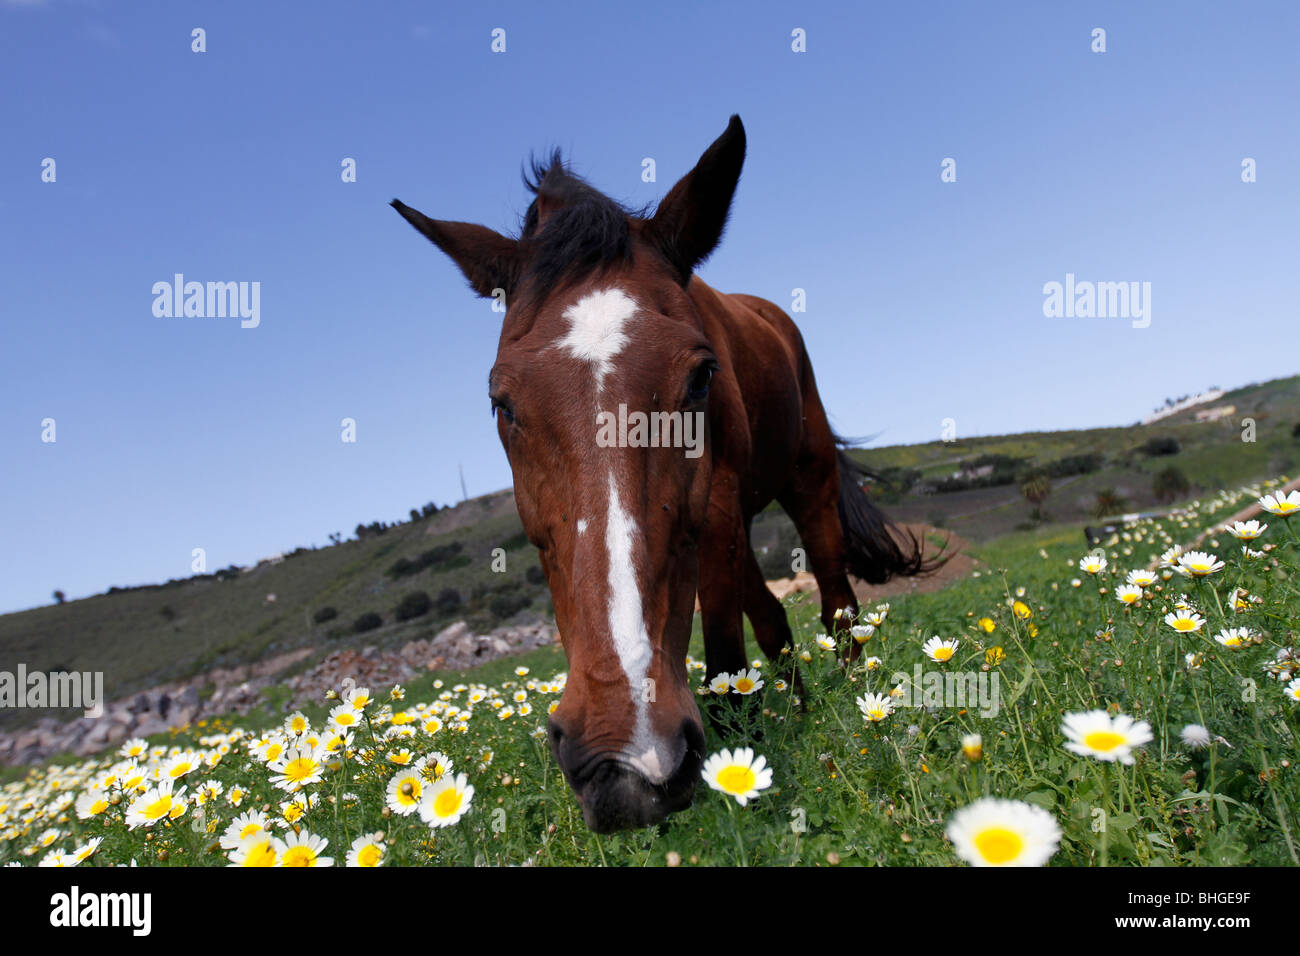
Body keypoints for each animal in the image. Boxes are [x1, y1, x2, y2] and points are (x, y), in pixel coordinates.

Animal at [392, 115, 937, 833]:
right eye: (501, 403)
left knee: (837, 607)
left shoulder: (722, 512)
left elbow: (730, 659)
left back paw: (853, 697)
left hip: (806, 482)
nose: (622, 759)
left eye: (701, 376)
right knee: (776, 622)